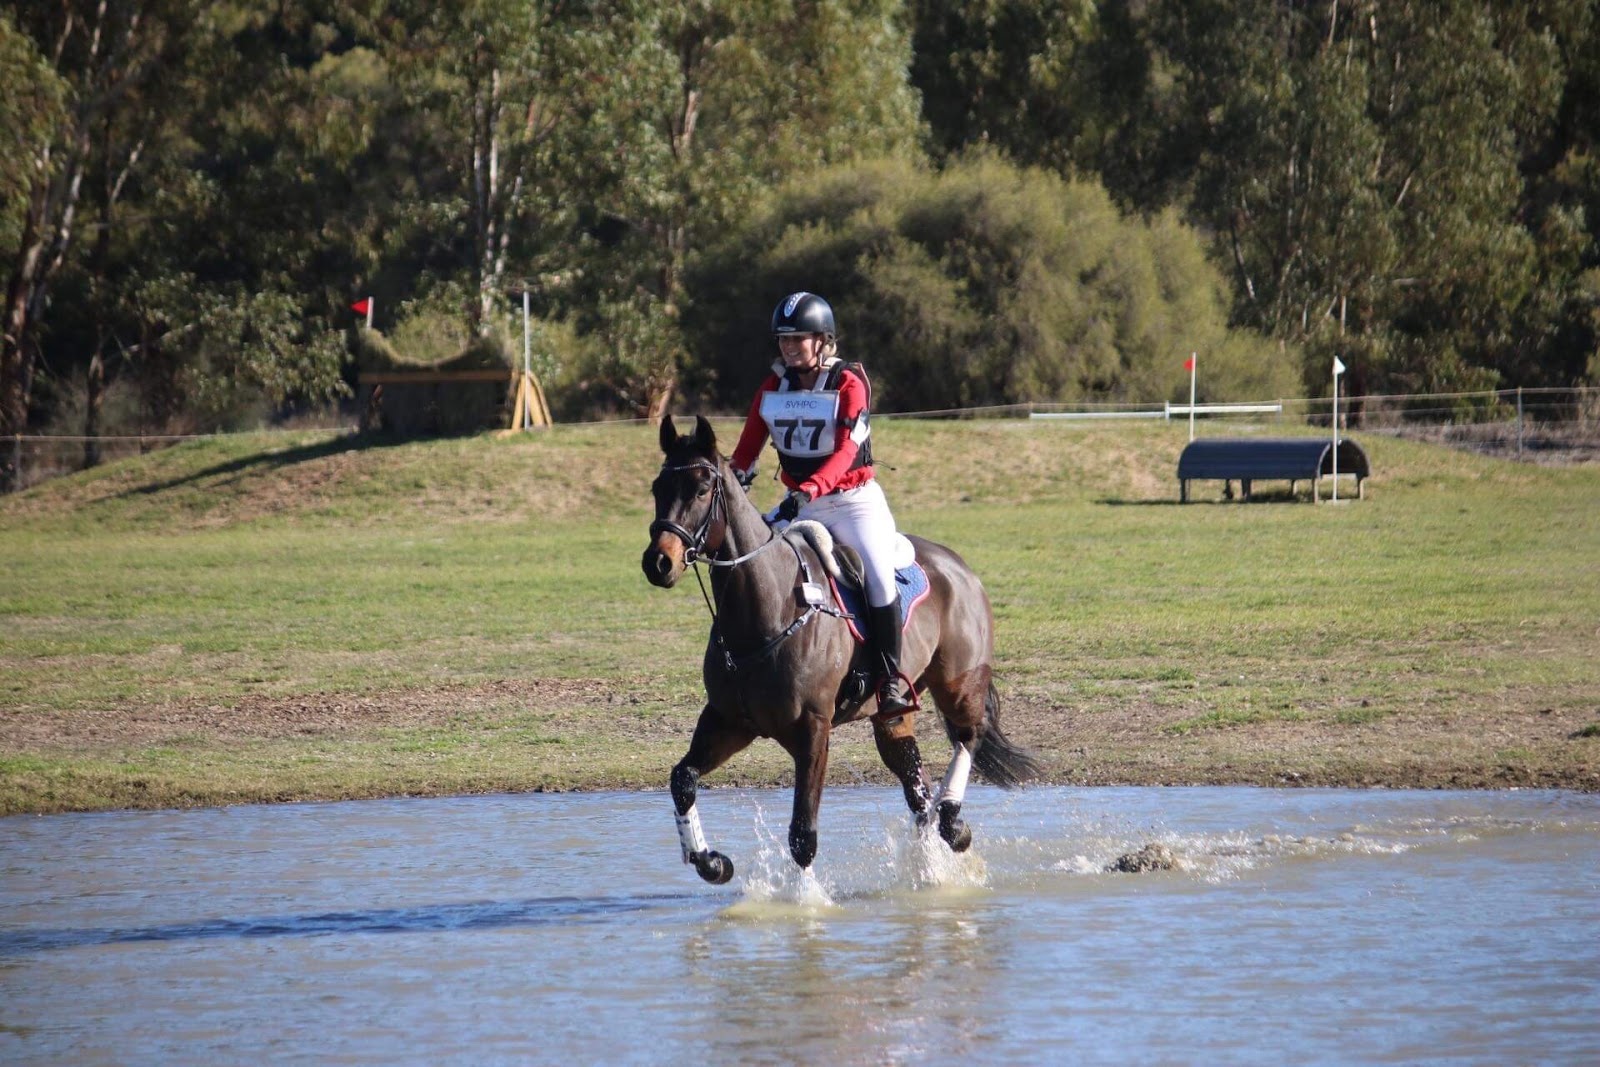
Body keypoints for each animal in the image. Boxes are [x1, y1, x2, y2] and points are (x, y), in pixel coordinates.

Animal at [641, 415, 1039, 884]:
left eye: (702, 490)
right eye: (657, 488)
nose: (658, 563)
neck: (766, 610)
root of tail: (959, 567)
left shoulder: (814, 730)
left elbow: (802, 834)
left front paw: (805, 899)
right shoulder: (729, 720)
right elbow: (683, 778)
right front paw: (711, 861)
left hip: (959, 684)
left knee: (966, 737)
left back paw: (953, 820)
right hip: (892, 717)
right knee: (917, 791)